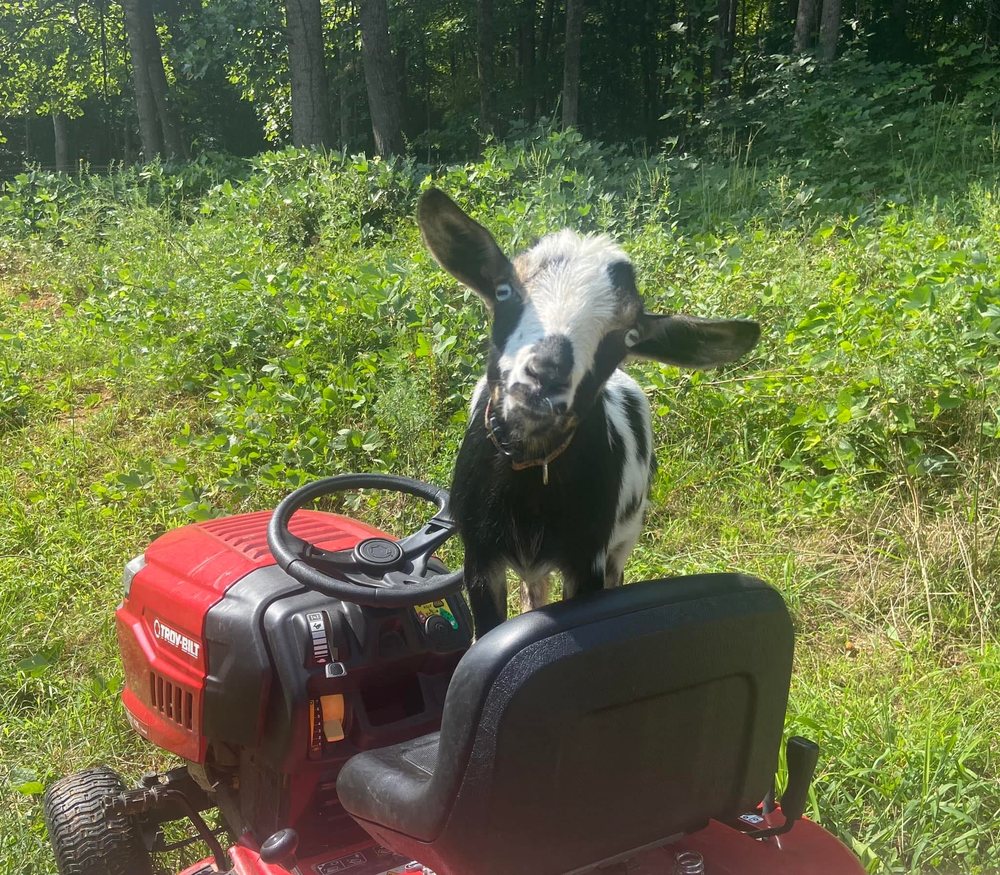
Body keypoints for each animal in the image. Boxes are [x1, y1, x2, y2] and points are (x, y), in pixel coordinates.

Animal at [417, 188, 760, 638]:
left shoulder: (587, 560)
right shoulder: (478, 556)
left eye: (628, 336)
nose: (544, 377)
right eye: (504, 291)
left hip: (625, 538)